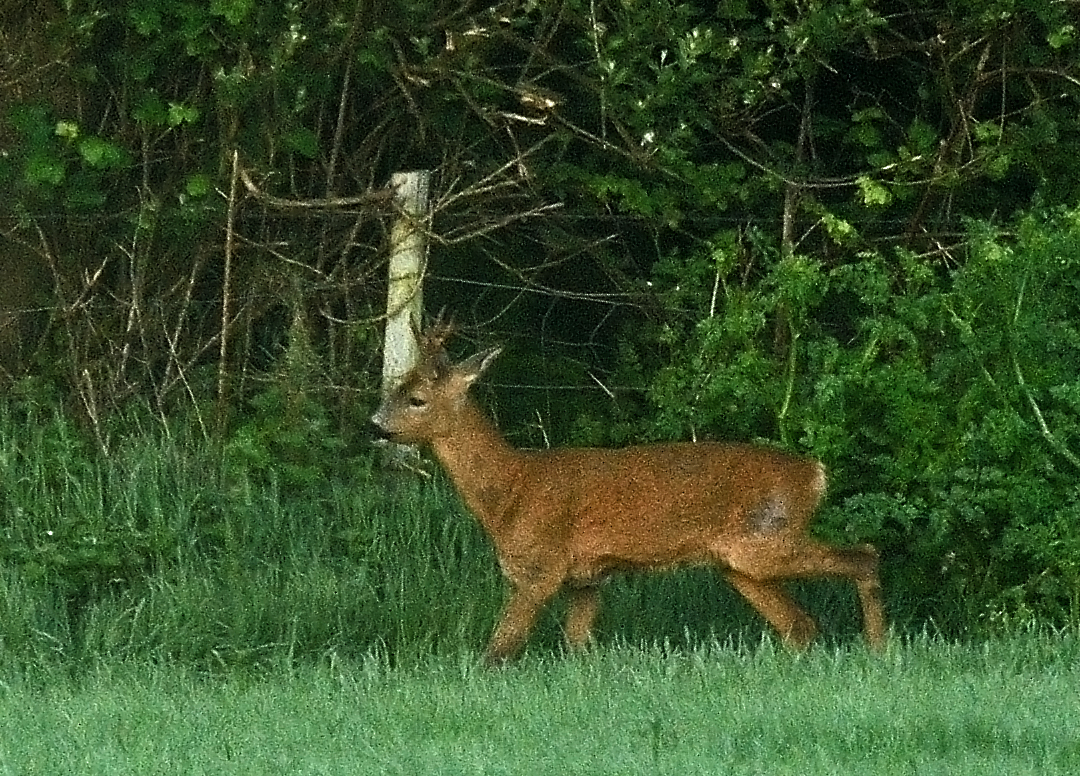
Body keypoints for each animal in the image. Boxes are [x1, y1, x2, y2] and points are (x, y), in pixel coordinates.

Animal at [371, 320, 887, 664]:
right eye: (394, 389)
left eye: (416, 399)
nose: (375, 425)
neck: (510, 490)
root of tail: (814, 473)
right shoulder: (587, 579)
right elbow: (578, 647)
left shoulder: (540, 566)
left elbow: (498, 651)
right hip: (741, 560)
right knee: (801, 624)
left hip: (766, 540)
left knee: (865, 555)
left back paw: (879, 649)